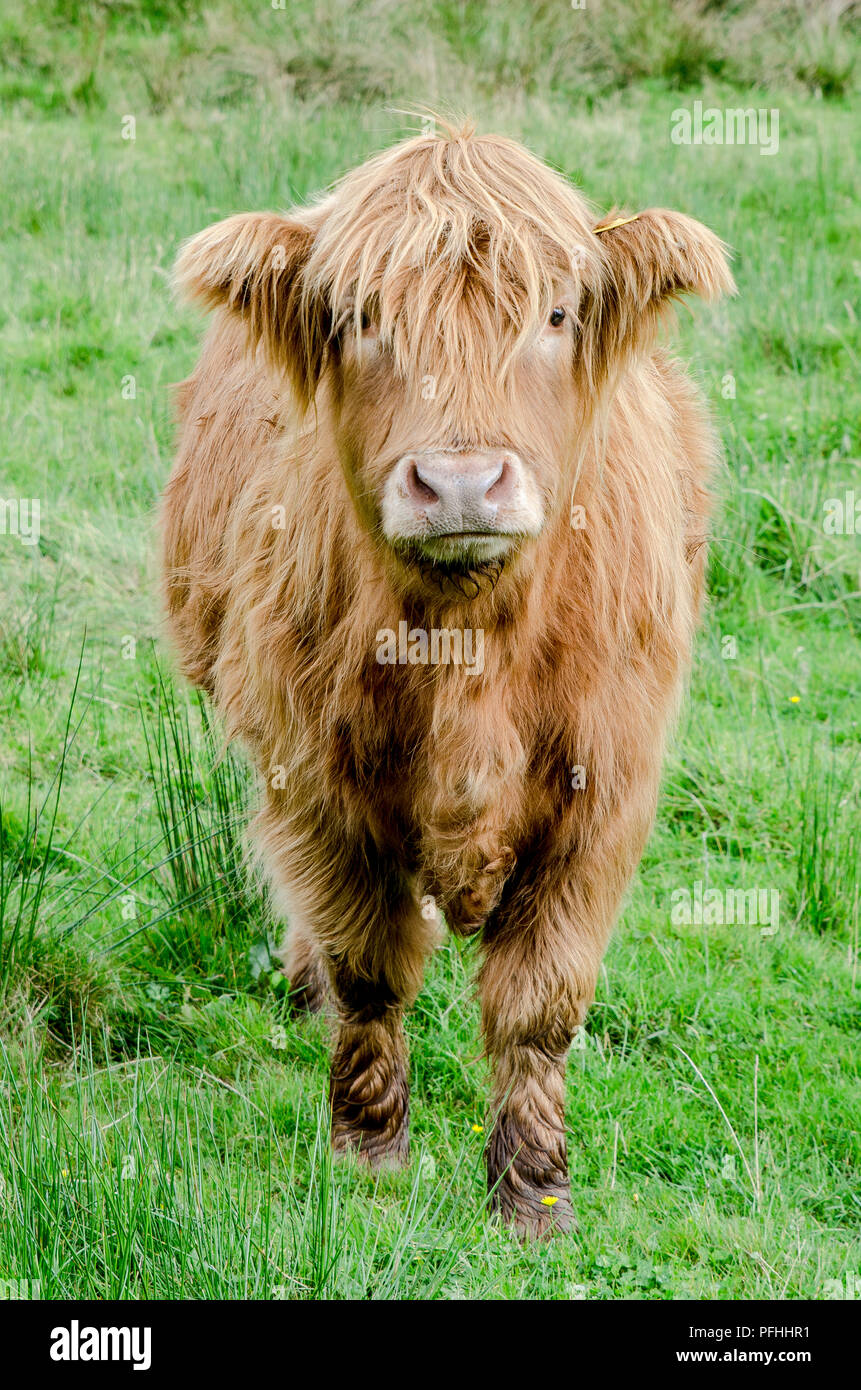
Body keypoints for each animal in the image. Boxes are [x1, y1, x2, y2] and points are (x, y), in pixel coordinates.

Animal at [160, 120, 734, 1237]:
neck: (468, 655)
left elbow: (539, 1004)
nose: (461, 482)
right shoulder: (317, 784)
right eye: (363, 317)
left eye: (554, 313)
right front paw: (371, 1153)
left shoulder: (603, 800)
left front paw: (533, 1191)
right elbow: (367, 966)